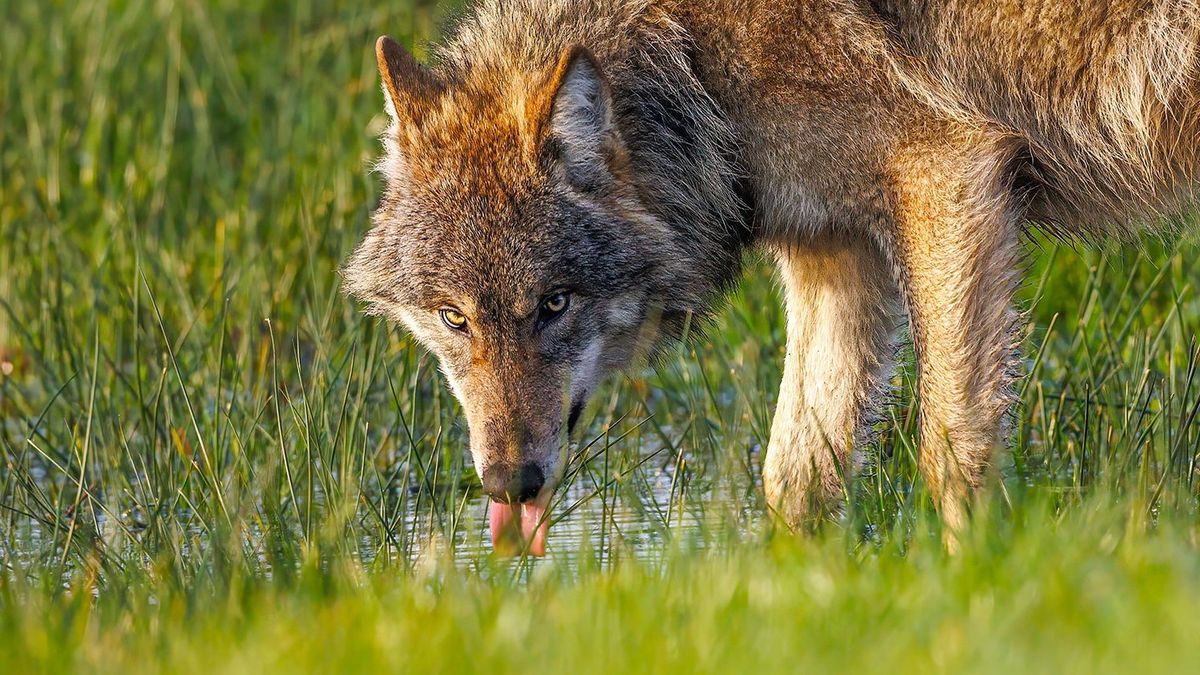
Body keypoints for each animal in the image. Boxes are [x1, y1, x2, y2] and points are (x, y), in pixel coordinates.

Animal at [343, 0, 1200, 552]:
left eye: (554, 303)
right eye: (455, 318)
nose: (508, 482)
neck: (689, 53)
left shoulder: (950, 177)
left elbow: (952, 451)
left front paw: (975, 591)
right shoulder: (838, 252)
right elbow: (794, 477)